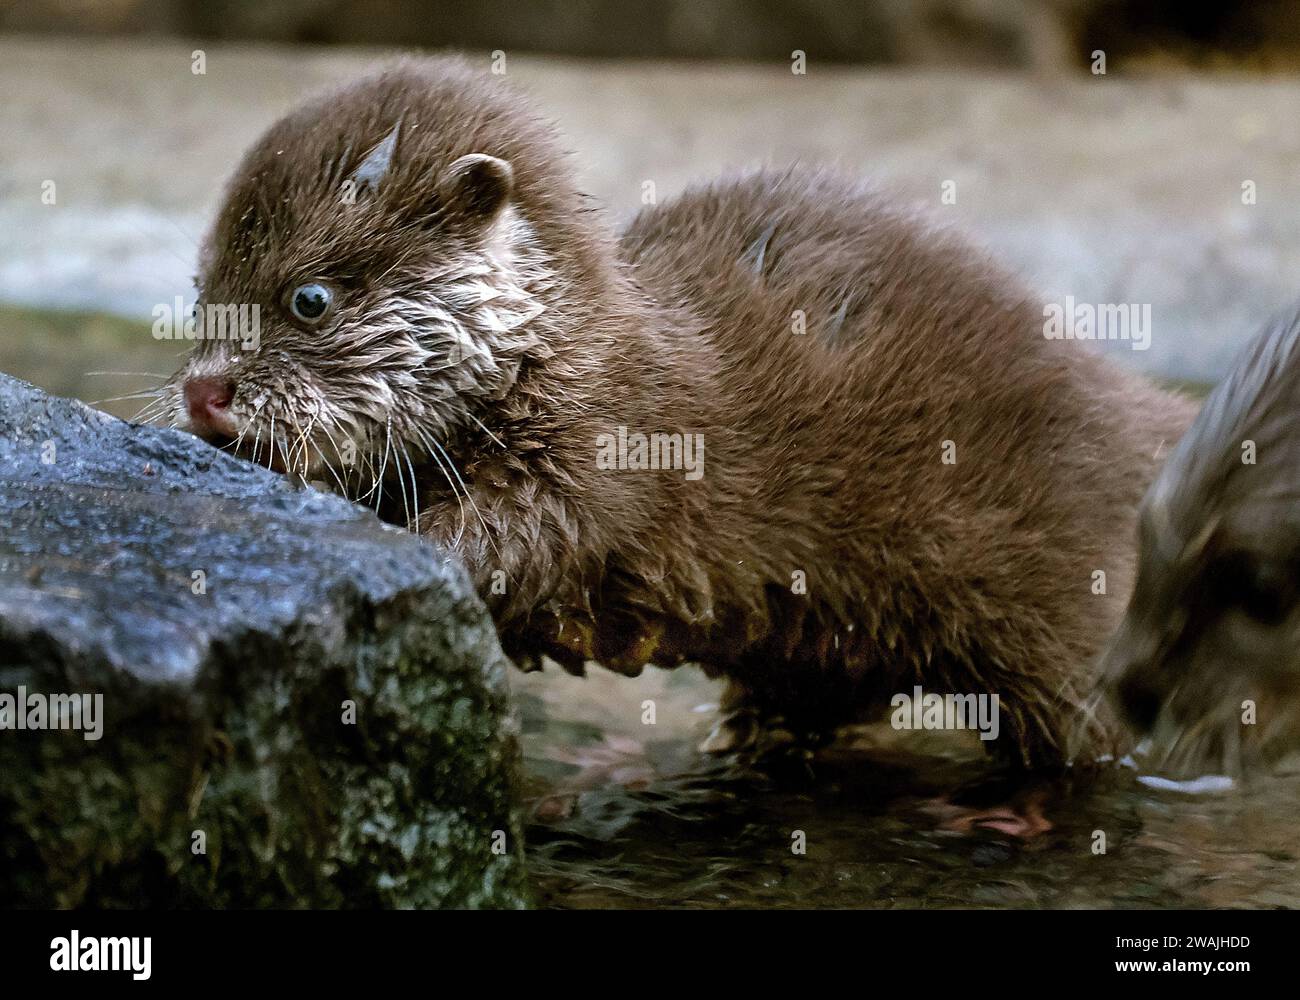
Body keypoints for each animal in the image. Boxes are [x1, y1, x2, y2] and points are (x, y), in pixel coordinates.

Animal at [164, 58, 1195, 768]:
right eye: (204, 288)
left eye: (310, 298)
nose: (203, 392)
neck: (571, 360)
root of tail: (1151, 420)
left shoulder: (600, 457)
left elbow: (516, 541)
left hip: (1069, 601)